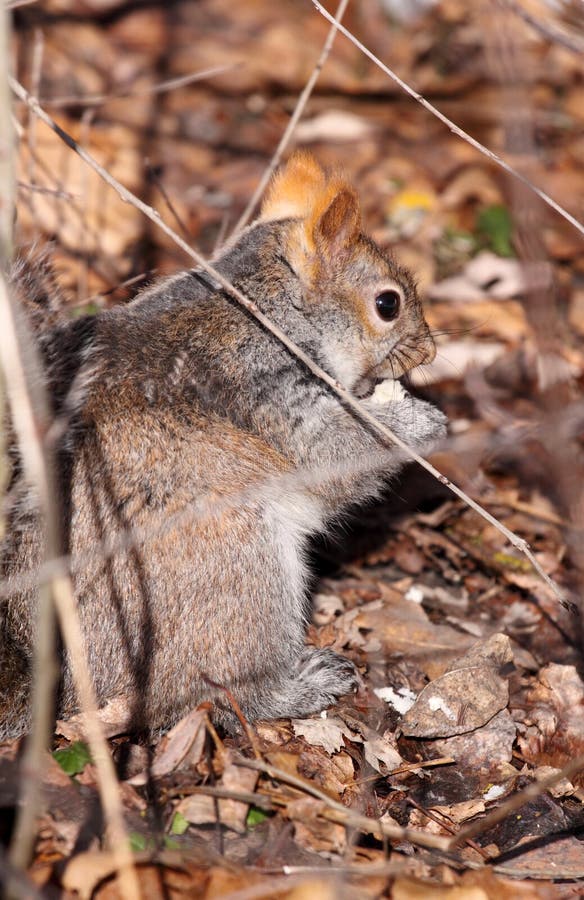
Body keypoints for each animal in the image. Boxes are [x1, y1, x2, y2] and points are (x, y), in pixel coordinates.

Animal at [0, 152, 446, 738]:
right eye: (387, 304)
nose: (428, 352)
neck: (269, 308)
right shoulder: (268, 388)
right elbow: (337, 452)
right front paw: (419, 422)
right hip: (235, 569)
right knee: (219, 693)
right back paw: (299, 687)